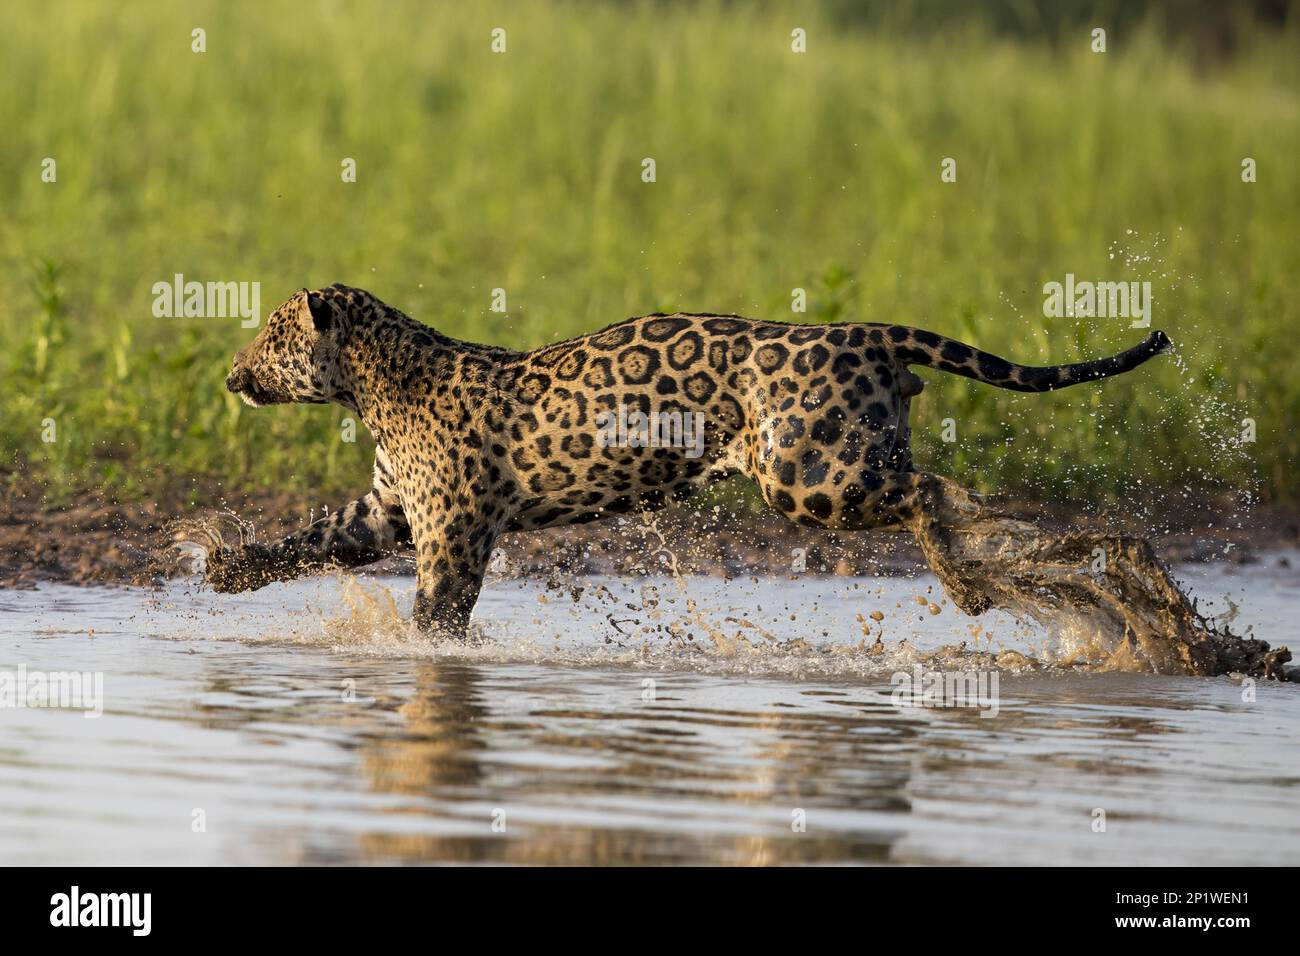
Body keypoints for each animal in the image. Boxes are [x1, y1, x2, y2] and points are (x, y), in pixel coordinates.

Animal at [212, 283, 1171, 638]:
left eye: (270, 337)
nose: (229, 375)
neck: (374, 386)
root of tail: (860, 330)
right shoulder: (387, 509)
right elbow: (309, 537)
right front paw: (226, 567)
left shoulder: (448, 532)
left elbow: (435, 614)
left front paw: (421, 658)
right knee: (936, 487)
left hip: (808, 477)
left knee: (935, 490)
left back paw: (971, 579)